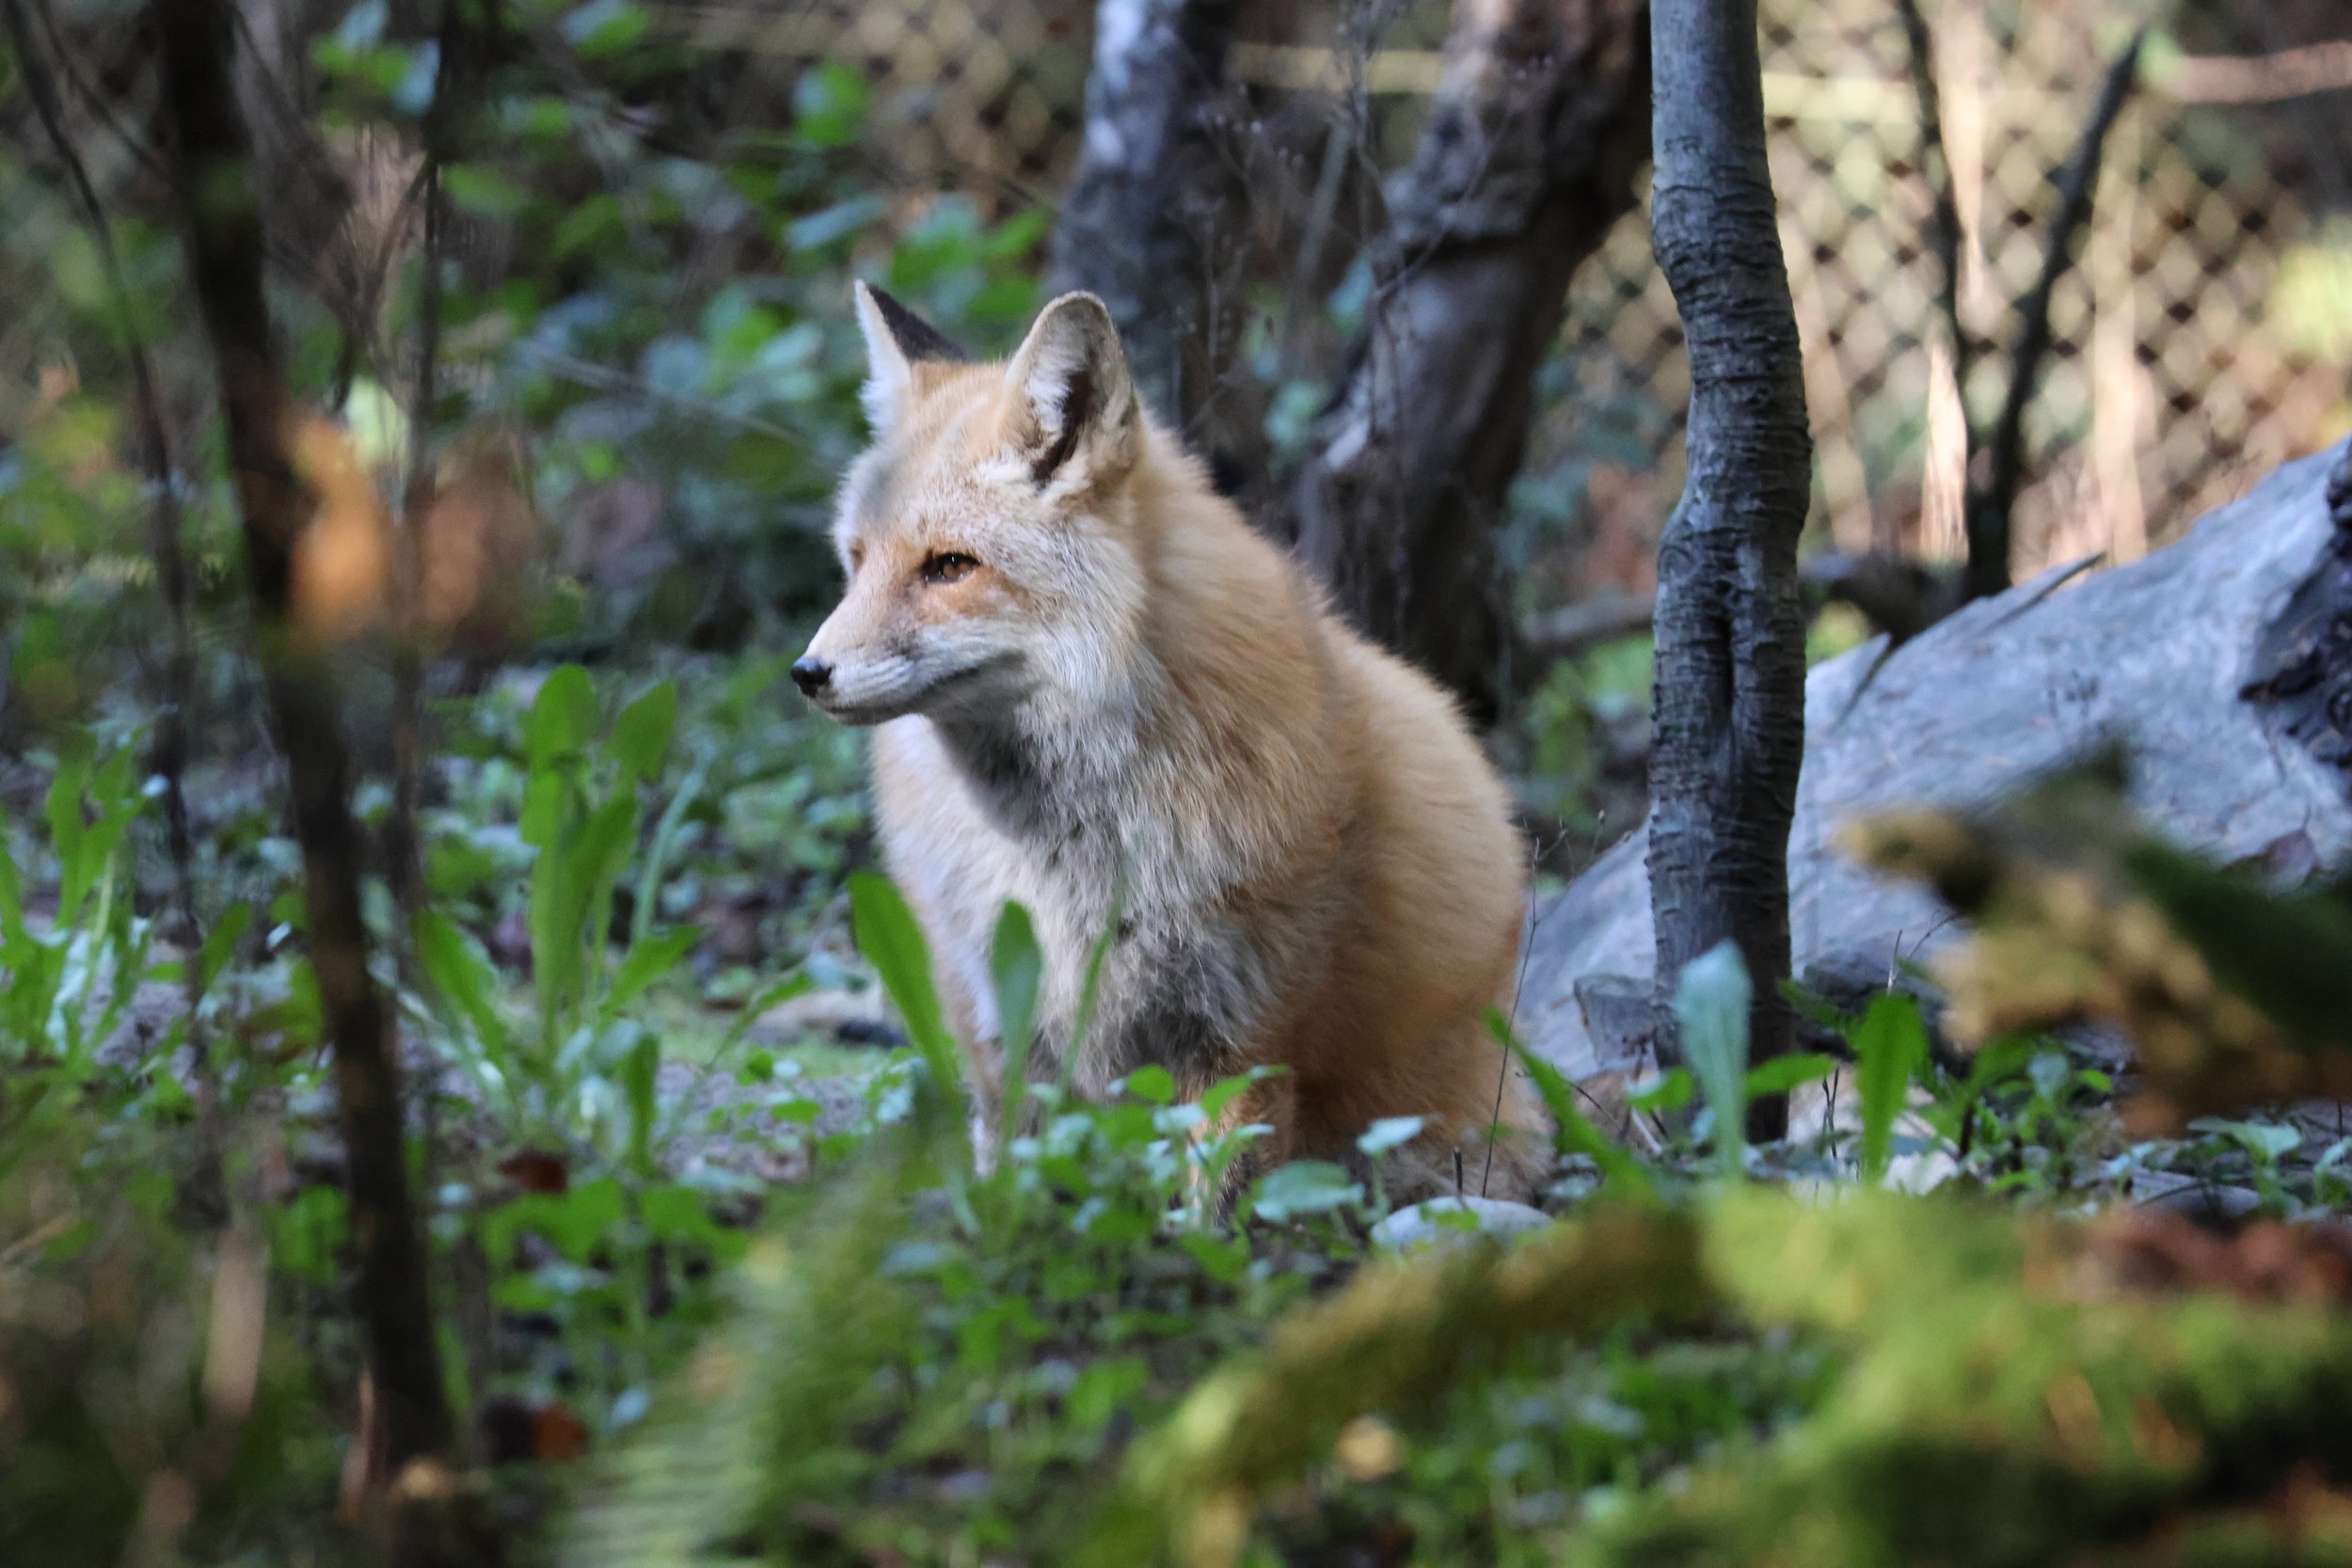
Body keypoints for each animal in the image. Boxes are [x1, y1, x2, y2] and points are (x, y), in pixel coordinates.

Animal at [794, 281, 1550, 1205]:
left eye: (950, 567)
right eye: (856, 559)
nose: (808, 672)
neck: (1069, 849)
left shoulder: (1238, 1034)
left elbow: (1215, 1212)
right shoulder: (1000, 1021)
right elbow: (1017, 1193)